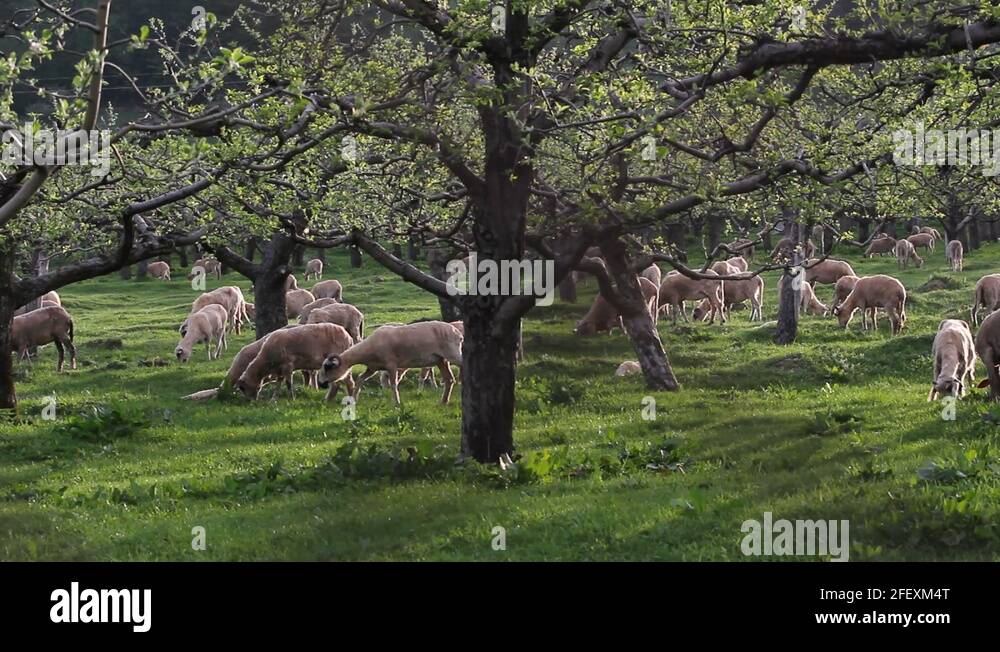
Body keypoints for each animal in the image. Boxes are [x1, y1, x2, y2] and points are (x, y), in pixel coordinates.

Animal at [318, 321, 463, 405]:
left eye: (327, 367)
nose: (320, 384)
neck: (368, 349)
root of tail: (457, 332)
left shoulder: (391, 365)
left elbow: (394, 384)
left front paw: (397, 403)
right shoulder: (372, 368)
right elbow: (360, 379)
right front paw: (354, 400)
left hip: (452, 354)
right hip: (441, 360)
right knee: (449, 380)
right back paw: (443, 402)